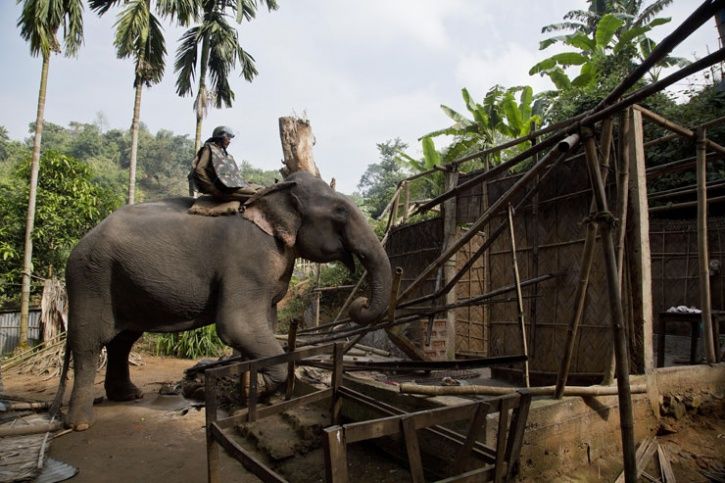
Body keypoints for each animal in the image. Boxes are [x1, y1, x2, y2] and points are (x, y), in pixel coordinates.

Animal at [51, 171, 392, 431]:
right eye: (340, 212)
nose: (360, 304)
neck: (273, 194)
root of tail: (78, 245)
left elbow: (263, 323)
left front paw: (255, 392)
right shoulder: (247, 260)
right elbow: (237, 325)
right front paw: (262, 389)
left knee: (122, 341)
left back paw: (128, 396)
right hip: (90, 278)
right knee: (89, 343)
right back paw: (80, 423)